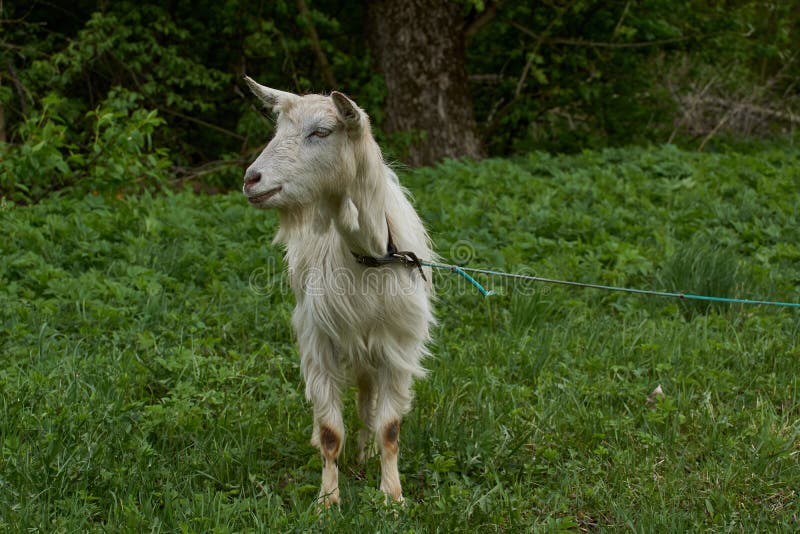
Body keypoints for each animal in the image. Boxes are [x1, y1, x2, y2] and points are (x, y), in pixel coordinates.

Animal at [241, 76, 435, 506]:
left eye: (321, 132)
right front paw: (327, 500)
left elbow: (389, 428)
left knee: (366, 399)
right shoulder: (319, 339)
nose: (251, 179)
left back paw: (364, 456)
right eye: (278, 130)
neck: (371, 256)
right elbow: (331, 432)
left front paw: (392, 497)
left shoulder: (396, 344)